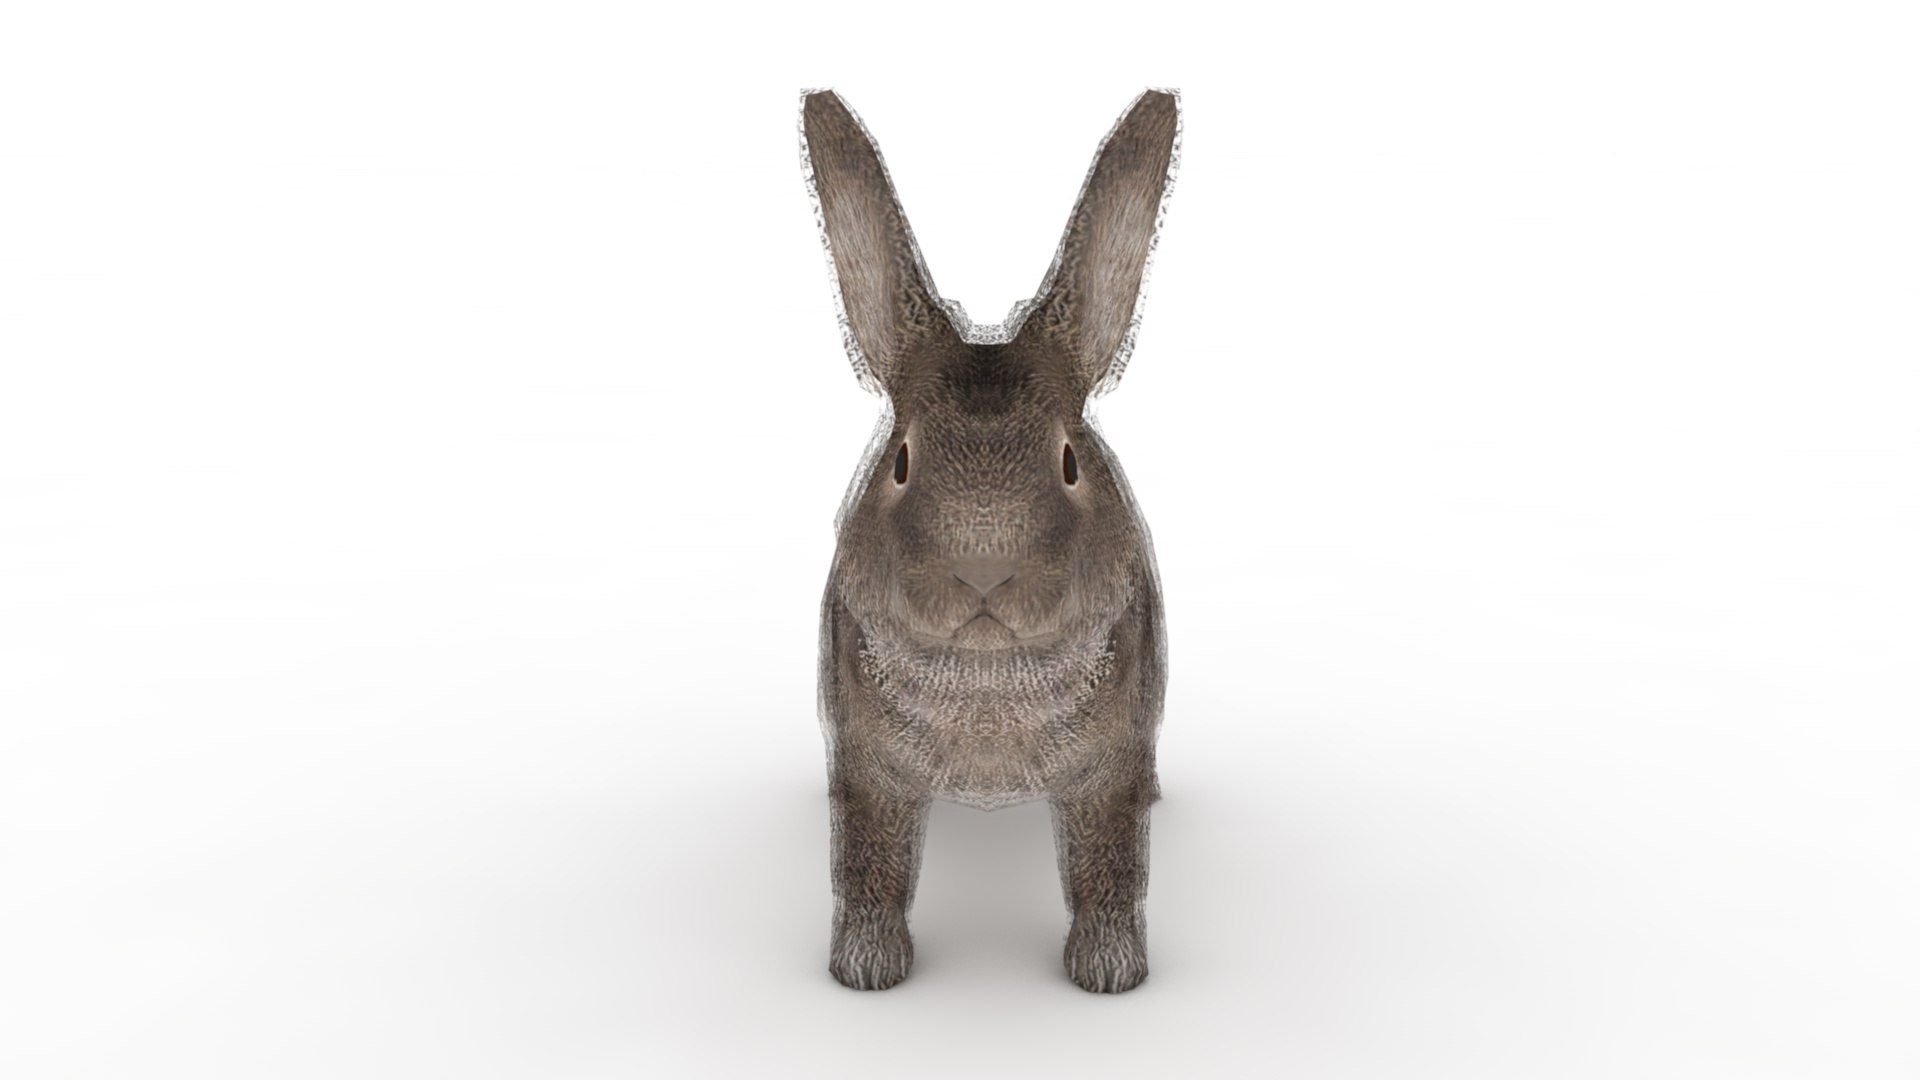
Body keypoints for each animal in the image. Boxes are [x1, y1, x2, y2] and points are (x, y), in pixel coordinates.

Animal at [799, 87, 1179, 994]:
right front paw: (866, 969)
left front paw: (1110, 972)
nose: (984, 573)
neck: (986, 684)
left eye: (1071, 462)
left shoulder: (1109, 771)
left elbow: (1109, 866)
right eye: (900, 460)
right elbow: (869, 865)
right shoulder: (865, 770)